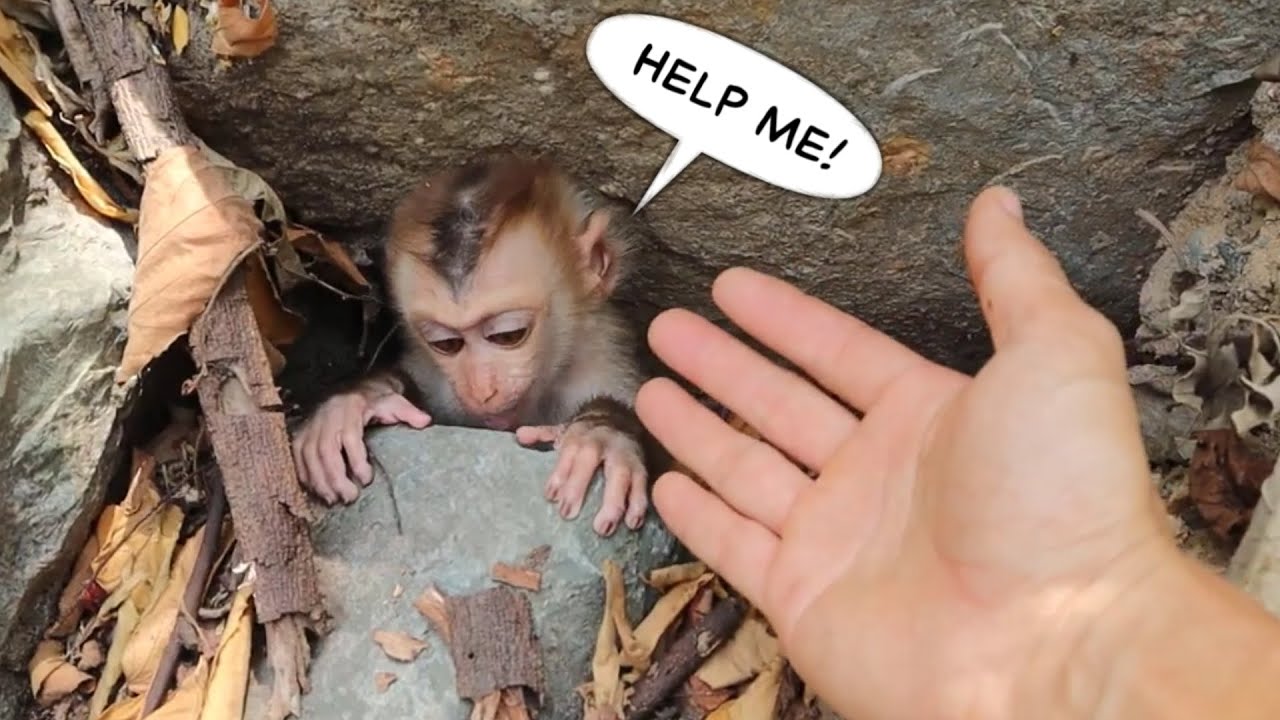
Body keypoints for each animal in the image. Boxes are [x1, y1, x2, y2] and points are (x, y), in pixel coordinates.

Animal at [290, 152, 651, 536]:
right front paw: (361, 398)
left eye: (508, 335)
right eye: (447, 344)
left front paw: (601, 433)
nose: (482, 391)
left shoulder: (604, 360)